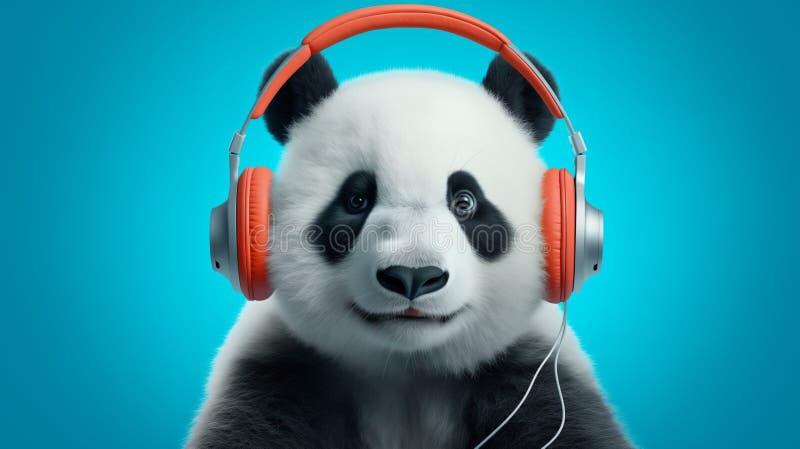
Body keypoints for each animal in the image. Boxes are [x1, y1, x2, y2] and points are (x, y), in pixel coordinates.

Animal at [187, 50, 633, 449]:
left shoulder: (537, 374)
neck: (407, 370)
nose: (413, 277)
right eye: (356, 200)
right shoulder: (277, 373)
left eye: (465, 202)